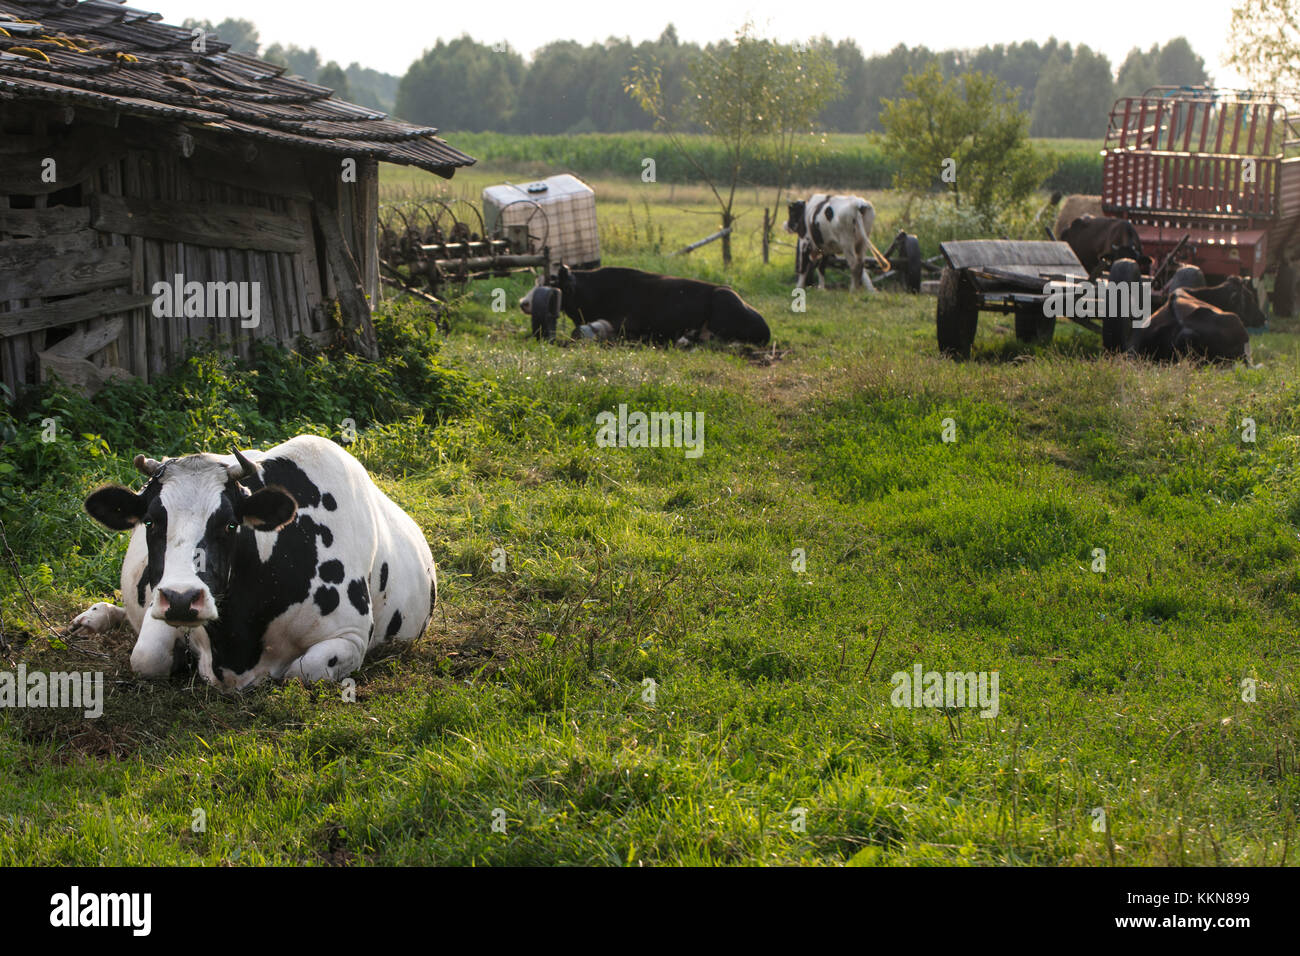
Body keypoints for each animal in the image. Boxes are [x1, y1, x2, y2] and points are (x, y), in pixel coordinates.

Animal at [70, 435, 437, 690]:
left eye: (230, 524)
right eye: (149, 522)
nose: (182, 599)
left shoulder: (351, 636)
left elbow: (302, 671)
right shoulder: (158, 608)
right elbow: (146, 658)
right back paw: (94, 617)